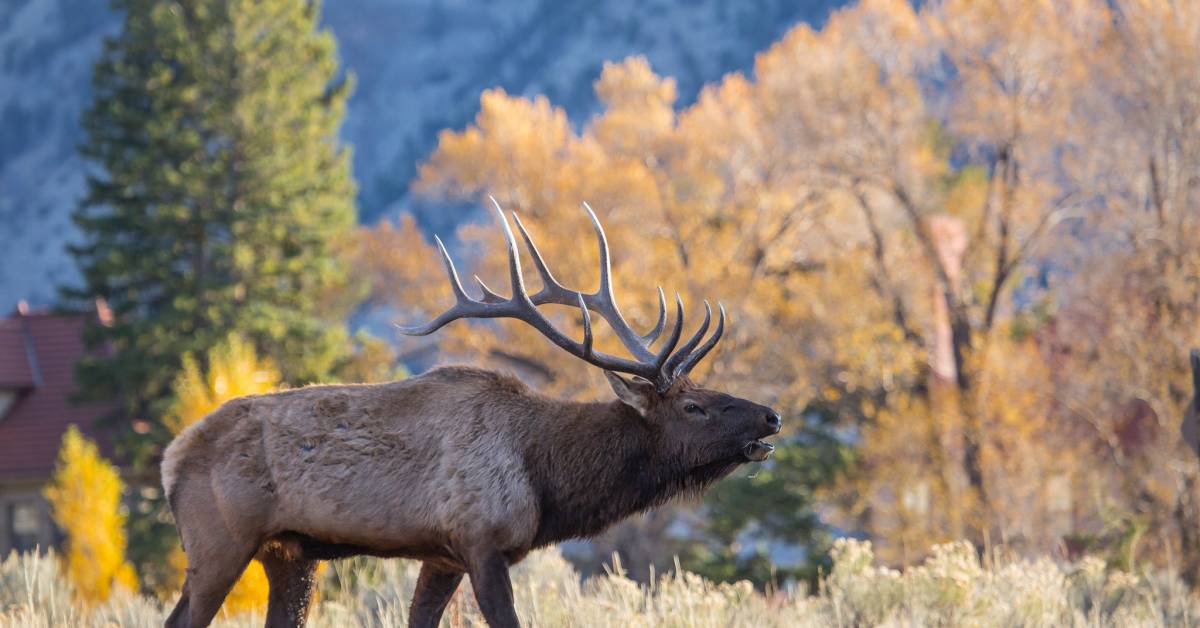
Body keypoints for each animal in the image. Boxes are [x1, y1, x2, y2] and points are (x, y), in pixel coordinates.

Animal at [161, 201, 782, 628]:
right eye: (694, 406)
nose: (772, 416)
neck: (547, 479)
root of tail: (170, 457)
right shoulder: (483, 541)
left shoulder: (444, 555)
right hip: (219, 540)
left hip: (290, 553)